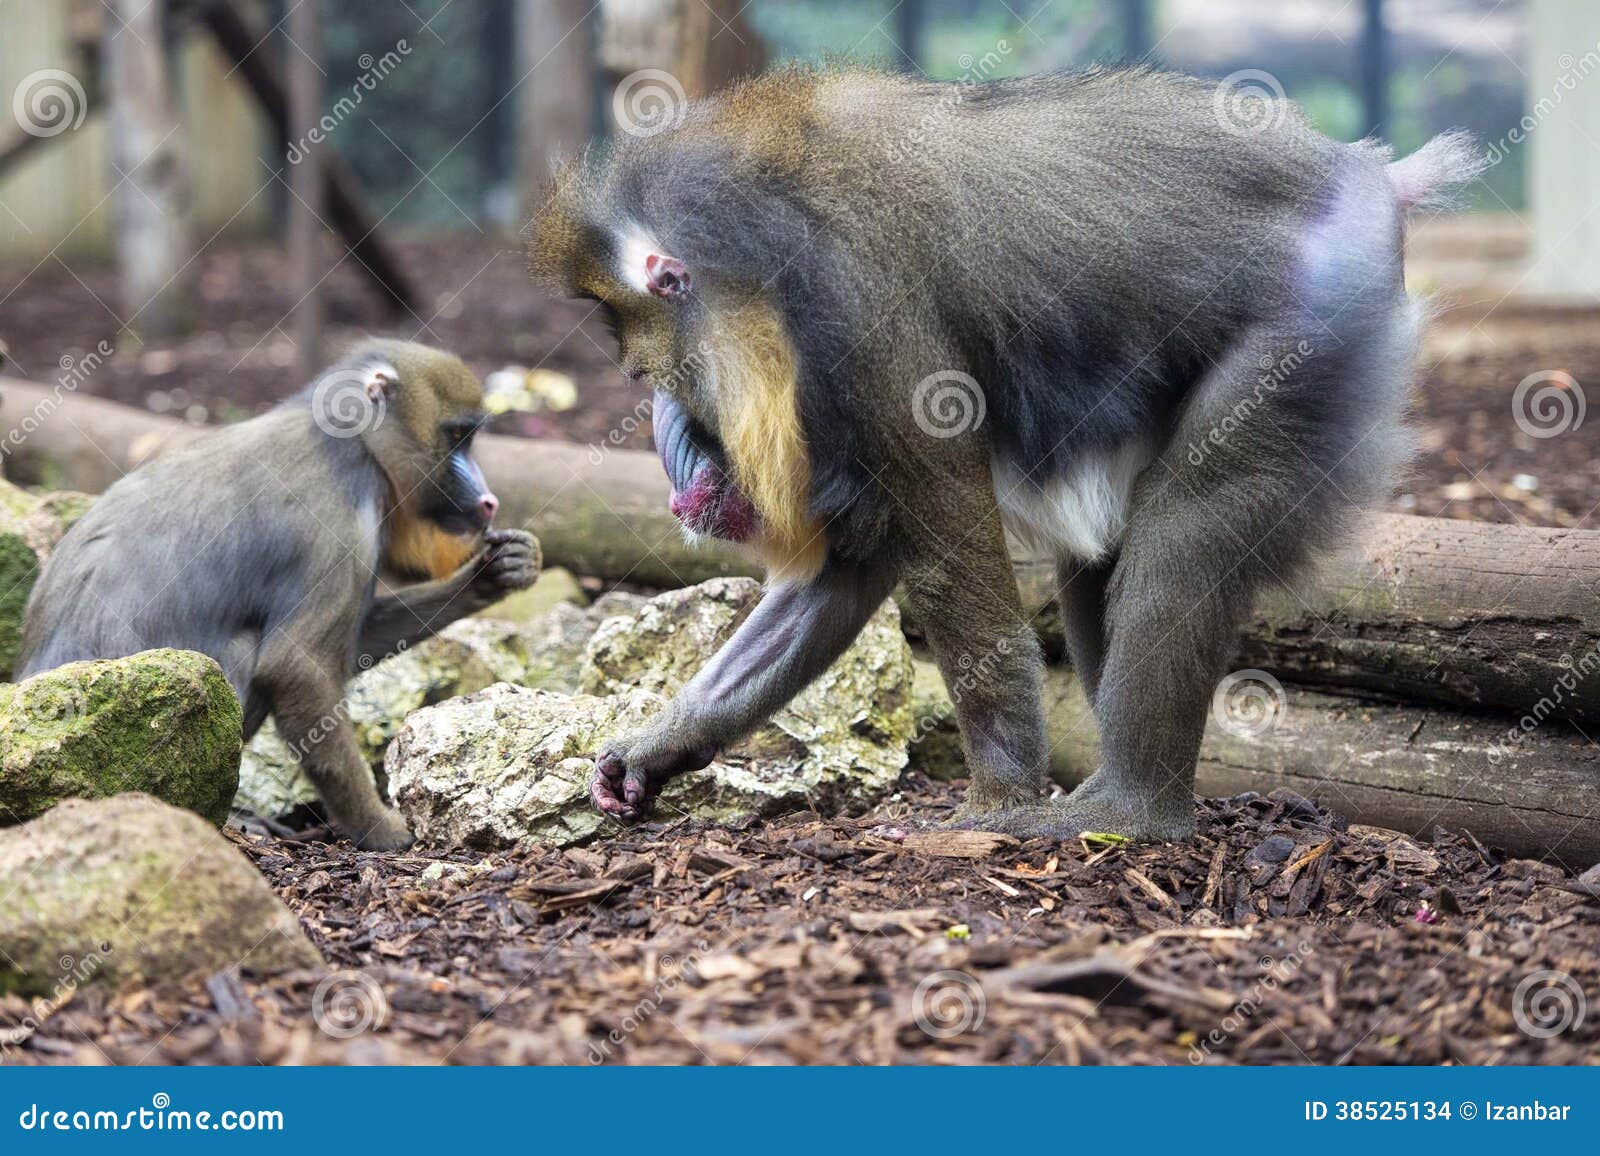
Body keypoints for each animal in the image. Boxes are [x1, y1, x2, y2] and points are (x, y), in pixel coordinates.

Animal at [15, 340, 538, 850]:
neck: (348, 442)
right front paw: (383, 829)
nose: (489, 500)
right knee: (248, 650)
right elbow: (297, 666)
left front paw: (496, 572)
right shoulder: (339, 521)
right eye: (456, 437)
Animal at [530, 64, 1484, 843]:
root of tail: (1372, 180)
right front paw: (652, 752)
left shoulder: (879, 331)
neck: (764, 258)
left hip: (1305, 339)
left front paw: (995, 803)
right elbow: (839, 580)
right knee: (1098, 566)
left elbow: (968, 598)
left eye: (653, 373)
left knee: (1185, 534)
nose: (672, 463)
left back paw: (1133, 812)